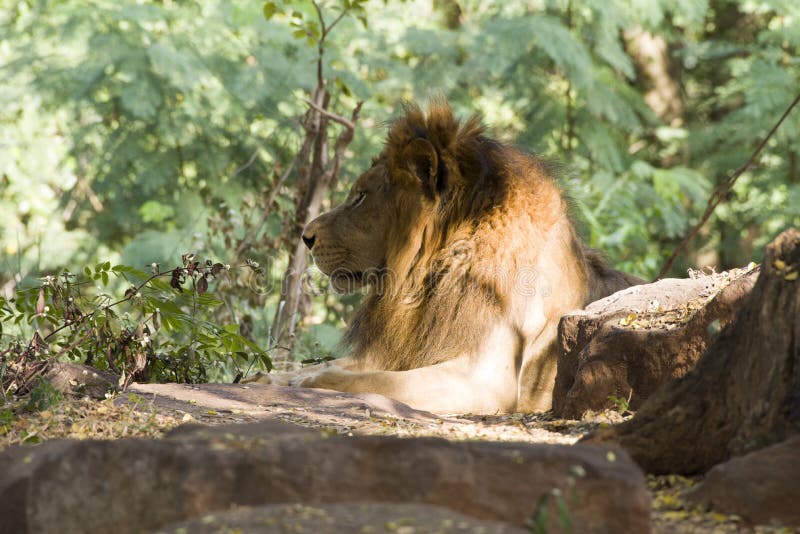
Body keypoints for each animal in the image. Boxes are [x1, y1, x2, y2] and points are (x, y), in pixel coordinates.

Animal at [254, 100, 640, 414]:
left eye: (361, 196)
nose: (306, 237)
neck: (426, 279)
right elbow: (322, 365)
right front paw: (269, 377)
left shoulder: (482, 382)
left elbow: (373, 380)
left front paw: (308, 384)